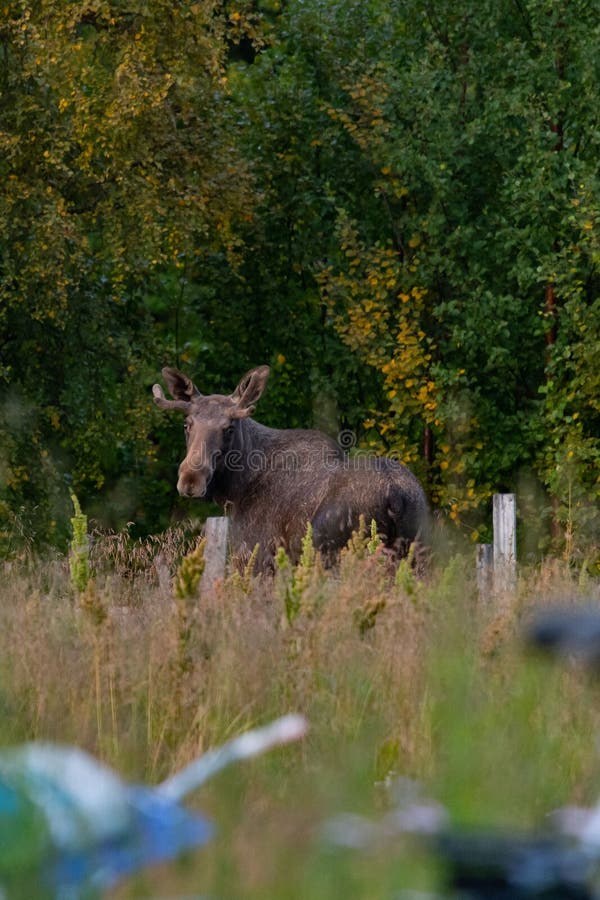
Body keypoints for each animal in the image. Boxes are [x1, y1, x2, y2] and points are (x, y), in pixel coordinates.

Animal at [153, 365, 429, 572]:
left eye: (229, 428)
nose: (191, 479)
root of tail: (396, 496)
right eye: (186, 424)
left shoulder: (256, 556)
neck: (235, 490)